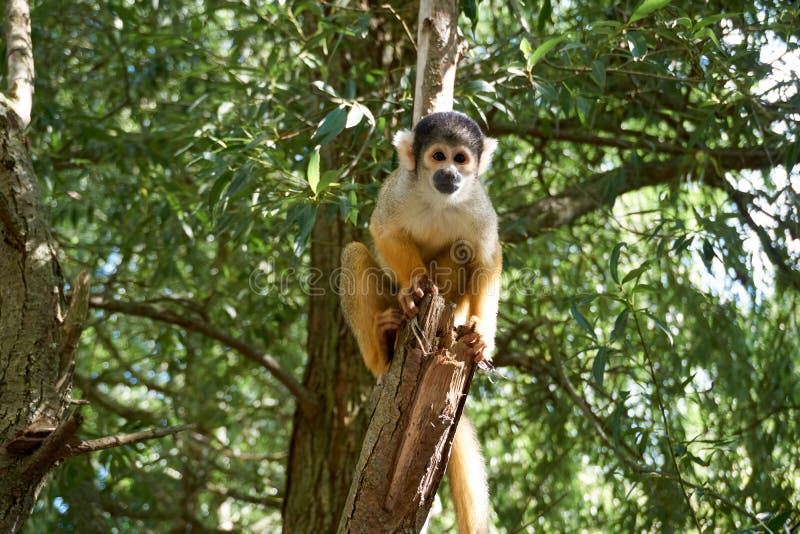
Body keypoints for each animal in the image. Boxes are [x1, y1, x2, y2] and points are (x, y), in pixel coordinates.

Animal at [340, 111, 501, 534]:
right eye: (438, 156)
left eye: (461, 158)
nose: (450, 174)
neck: (439, 199)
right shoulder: (399, 191)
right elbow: (382, 231)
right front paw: (414, 289)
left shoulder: (479, 206)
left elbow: (487, 258)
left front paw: (482, 335)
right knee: (354, 252)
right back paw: (386, 338)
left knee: (462, 250)